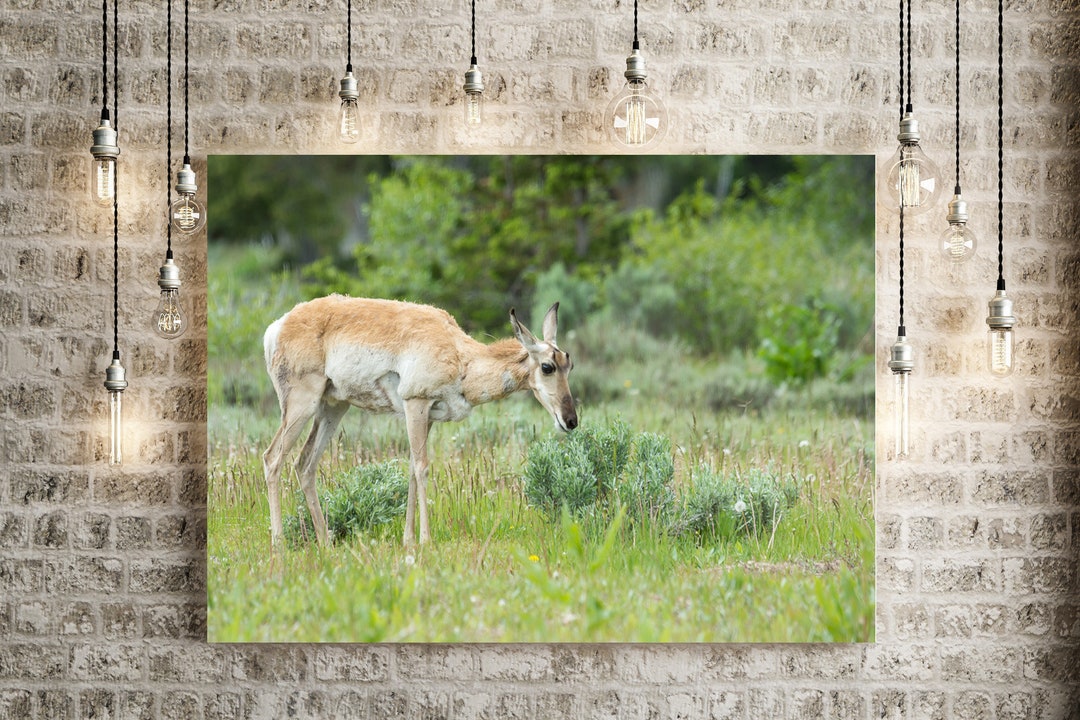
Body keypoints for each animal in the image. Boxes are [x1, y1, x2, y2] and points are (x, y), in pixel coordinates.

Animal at [262, 295, 577, 548]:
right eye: (547, 367)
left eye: (569, 364)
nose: (571, 421)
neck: (460, 355)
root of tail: (278, 326)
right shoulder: (416, 404)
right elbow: (423, 468)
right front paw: (425, 539)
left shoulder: (429, 417)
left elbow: (412, 469)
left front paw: (408, 539)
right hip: (301, 404)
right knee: (272, 458)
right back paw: (278, 542)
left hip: (333, 408)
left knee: (304, 464)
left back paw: (325, 541)